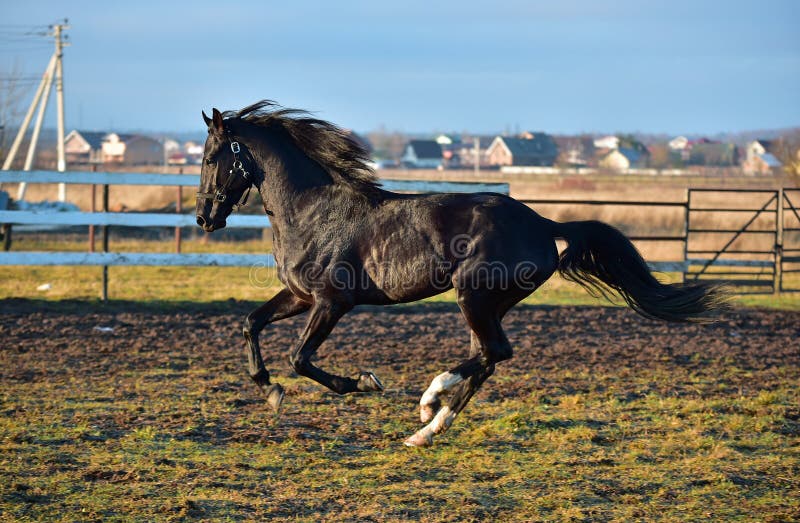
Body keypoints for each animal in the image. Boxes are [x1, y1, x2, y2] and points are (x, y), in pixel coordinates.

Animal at [195, 101, 725, 447]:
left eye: (212, 157)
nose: (204, 218)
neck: (313, 210)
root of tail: (541, 222)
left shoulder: (331, 302)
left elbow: (300, 358)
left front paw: (365, 382)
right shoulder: (300, 296)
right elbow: (251, 324)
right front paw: (270, 392)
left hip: (473, 296)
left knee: (493, 353)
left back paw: (429, 404)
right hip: (488, 303)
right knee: (486, 357)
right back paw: (427, 428)